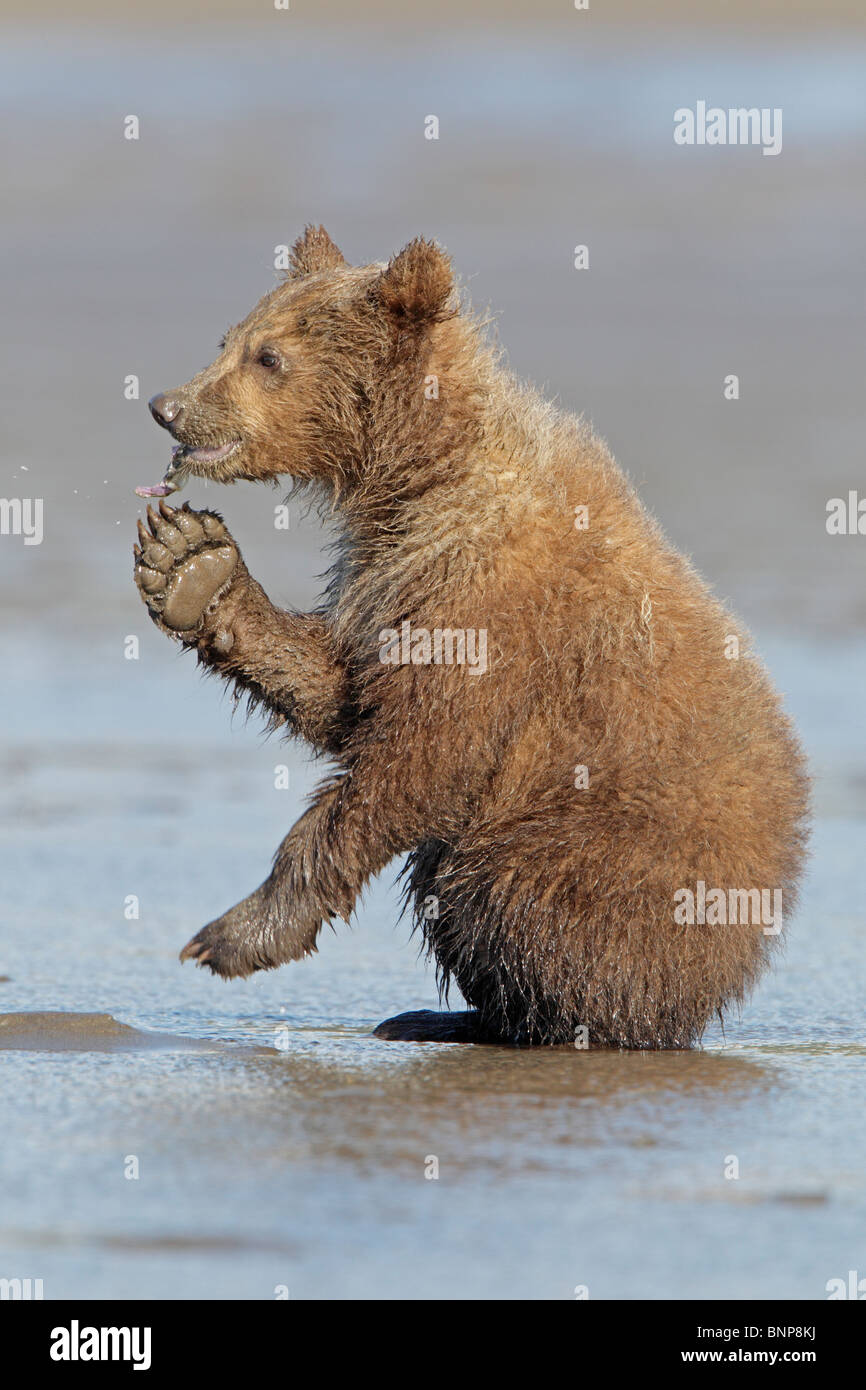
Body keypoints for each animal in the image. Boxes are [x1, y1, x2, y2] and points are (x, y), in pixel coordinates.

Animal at [133, 225, 809, 1048]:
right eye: (229, 338)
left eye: (268, 357)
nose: (168, 405)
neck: (418, 477)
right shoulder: (391, 584)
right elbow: (346, 693)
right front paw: (191, 567)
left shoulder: (489, 610)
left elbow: (417, 759)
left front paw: (235, 935)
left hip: (607, 846)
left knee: (498, 889)